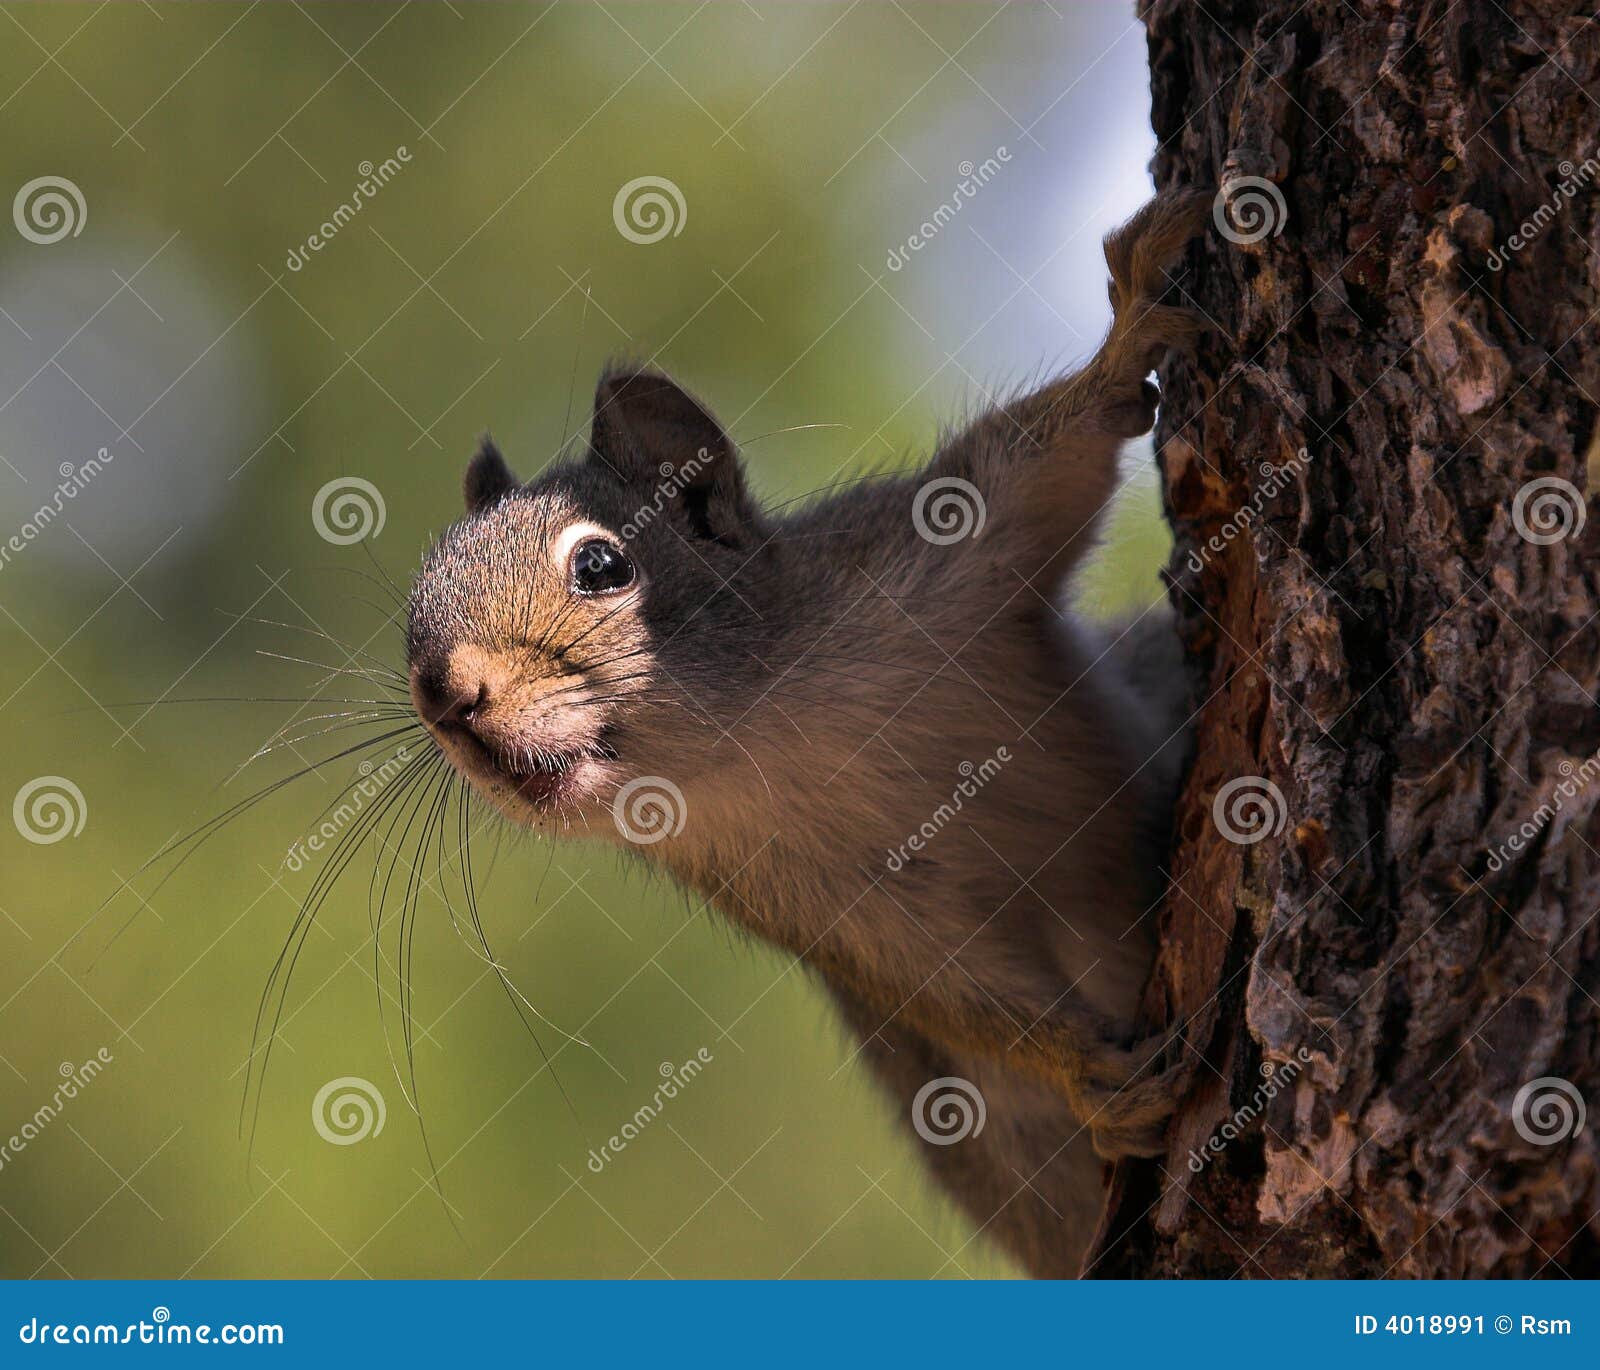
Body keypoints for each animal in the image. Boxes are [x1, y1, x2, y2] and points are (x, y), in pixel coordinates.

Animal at [405, 188, 1208, 1277]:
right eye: (411, 608)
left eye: (602, 565)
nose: (443, 696)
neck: (763, 737)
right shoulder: (813, 898)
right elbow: (952, 991)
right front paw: (1091, 1075)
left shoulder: (935, 555)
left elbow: (1041, 460)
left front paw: (1123, 344)